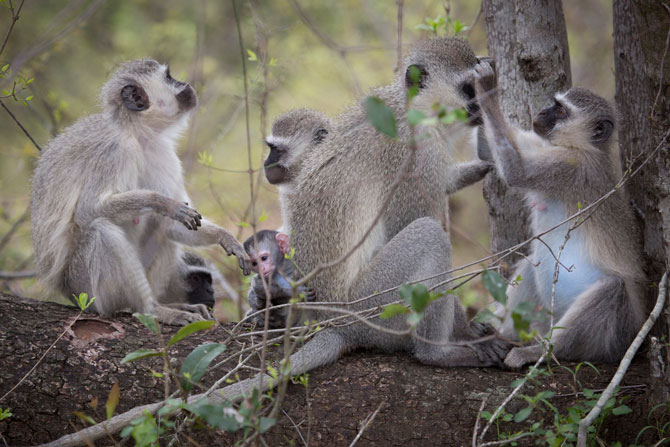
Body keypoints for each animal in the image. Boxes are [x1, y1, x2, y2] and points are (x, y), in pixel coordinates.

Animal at [31, 59, 250, 326]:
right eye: (169, 77)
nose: (185, 83)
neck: (137, 133)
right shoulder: (114, 150)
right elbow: (88, 210)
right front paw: (163, 203)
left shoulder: (162, 152)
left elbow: (174, 226)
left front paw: (224, 236)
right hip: (84, 290)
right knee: (102, 232)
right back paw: (151, 309)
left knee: (161, 229)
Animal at [472, 60, 647, 368]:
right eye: (553, 104)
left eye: (561, 111)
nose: (541, 112)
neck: (581, 147)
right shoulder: (548, 147)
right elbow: (489, 151)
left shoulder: (571, 168)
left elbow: (517, 171)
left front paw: (487, 89)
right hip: (543, 317)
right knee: (531, 265)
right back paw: (499, 334)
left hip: (613, 336)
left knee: (611, 289)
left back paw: (541, 352)